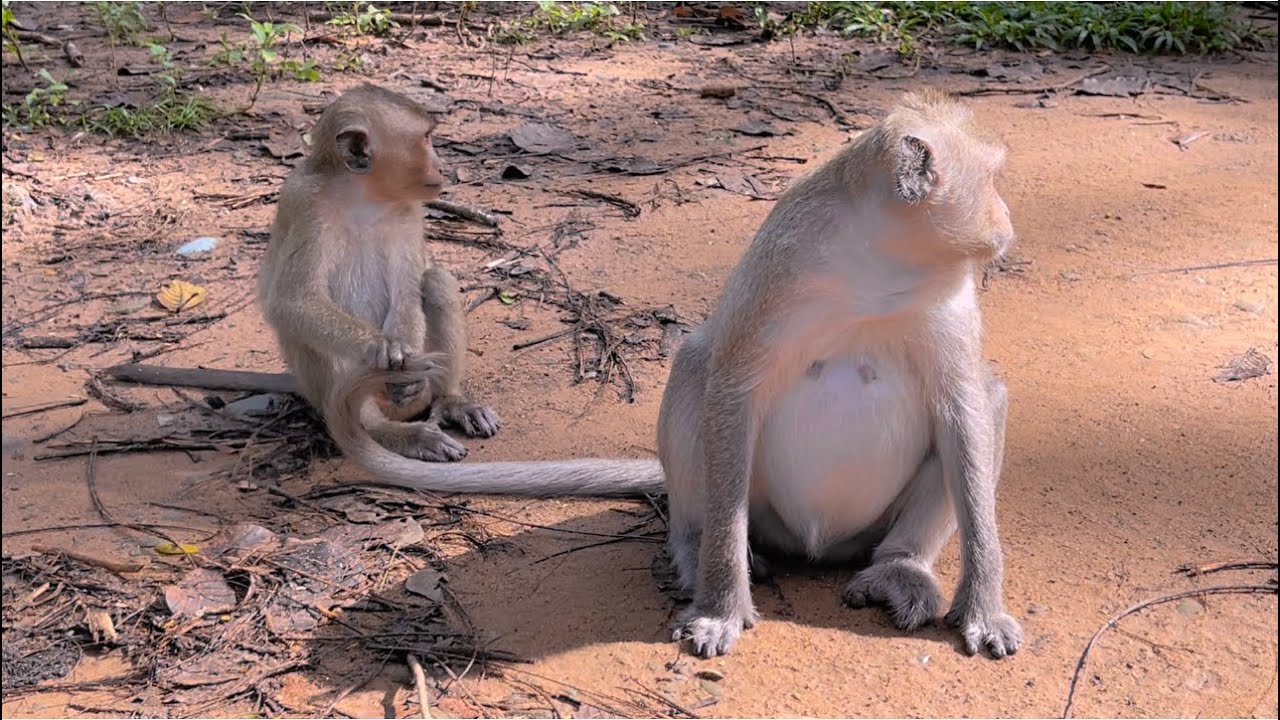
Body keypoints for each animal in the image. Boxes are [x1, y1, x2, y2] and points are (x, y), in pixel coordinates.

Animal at [257, 83, 501, 465]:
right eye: (427, 138)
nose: (442, 165)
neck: (361, 195)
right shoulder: (305, 204)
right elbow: (292, 301)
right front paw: (379, 347)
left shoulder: (409, 211)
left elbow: (408, 293)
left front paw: (405, 365)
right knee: (309, 335)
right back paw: (395, 433)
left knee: (436, 282)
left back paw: (450, 400)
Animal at [322, 90, 1023, 660]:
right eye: (992, 180)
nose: (1008, 223)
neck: (883, 266)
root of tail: (822, 549)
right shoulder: (780, 270)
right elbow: (732, 388)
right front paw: (721, 604)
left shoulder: (949, 301)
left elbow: (964, 407)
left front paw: (983, 608)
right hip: (761, 511)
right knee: (693, 371)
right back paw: (695, 547)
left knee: (988, 398)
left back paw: (901, 567)